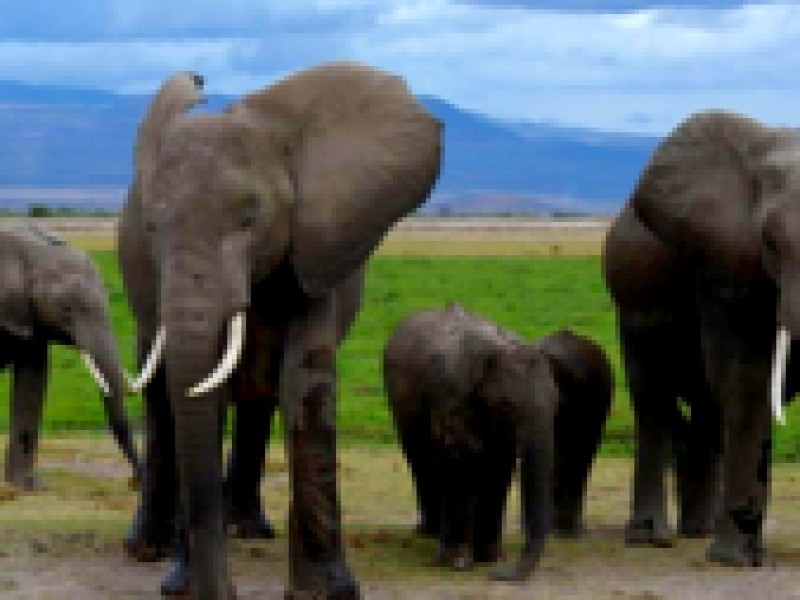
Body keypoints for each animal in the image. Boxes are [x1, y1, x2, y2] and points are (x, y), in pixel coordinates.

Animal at [118, 64, 440, 599]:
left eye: (251, 216)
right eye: (151, 229)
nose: (222, 594)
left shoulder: (315, 250)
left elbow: (304, 388)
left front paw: (327, 593)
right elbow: (198, 396)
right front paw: (180, 585)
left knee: (256, 399)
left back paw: (246, 529)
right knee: (163, 403)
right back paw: (147, 550)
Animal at [382, 303, 612, 580]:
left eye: (558, 403)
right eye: (505, 405)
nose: (501, 575)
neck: (499, 351)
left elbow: (498, 468)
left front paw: (491, 559)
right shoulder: (450, 395)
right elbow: (458, 463)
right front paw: (459, 563)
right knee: (421, 460)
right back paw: (430, 533)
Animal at [603, 109, 800, 566]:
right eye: (769, 241)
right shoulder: (725, 263)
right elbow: (747, 378)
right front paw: (737, 559)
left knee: (705, 407)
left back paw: (701, 527)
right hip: (633, 300)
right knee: (651, 395)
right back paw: (651, 537)